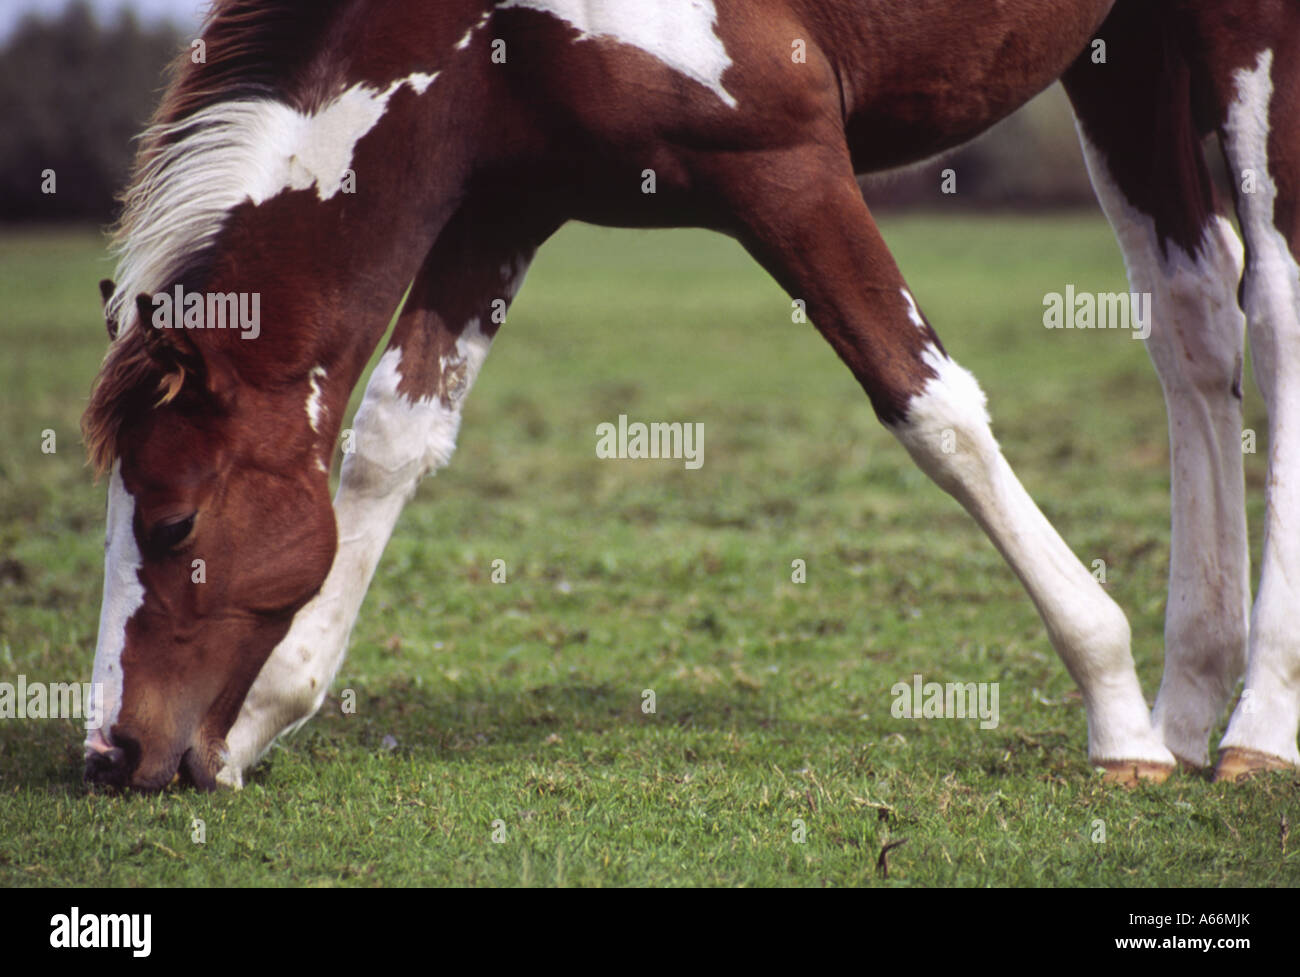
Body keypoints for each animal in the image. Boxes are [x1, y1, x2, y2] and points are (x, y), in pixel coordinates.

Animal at [80, 0, 1300, 790]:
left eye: (172, 519)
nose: (113, 750)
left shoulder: (785, 160)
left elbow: (931, 407)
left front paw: (1109, 707)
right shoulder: (505, 200)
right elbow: (393, 432)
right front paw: (261, 718)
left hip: (1243, 38)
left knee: (1274, 308)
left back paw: (1252, 727)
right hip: (1119, 54)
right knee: (1193, 319)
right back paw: (1190, 706)